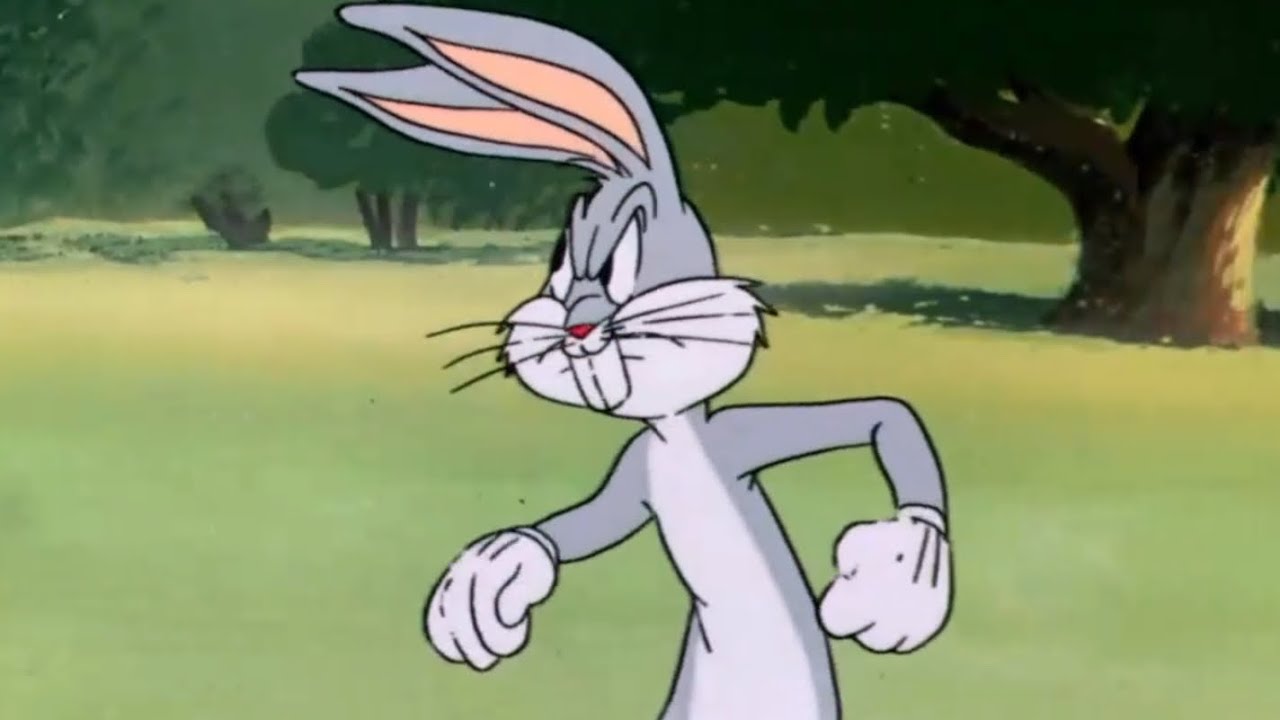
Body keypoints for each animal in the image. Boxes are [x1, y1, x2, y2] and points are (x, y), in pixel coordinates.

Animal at [294, 5, 954, 719]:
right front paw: (503, 569)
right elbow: (592, 522)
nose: (579, 326)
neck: (676, 435)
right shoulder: (637, 469)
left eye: (622, 266)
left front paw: (908, 574)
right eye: (559, 270)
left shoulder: (740, 437)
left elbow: (885, 415)